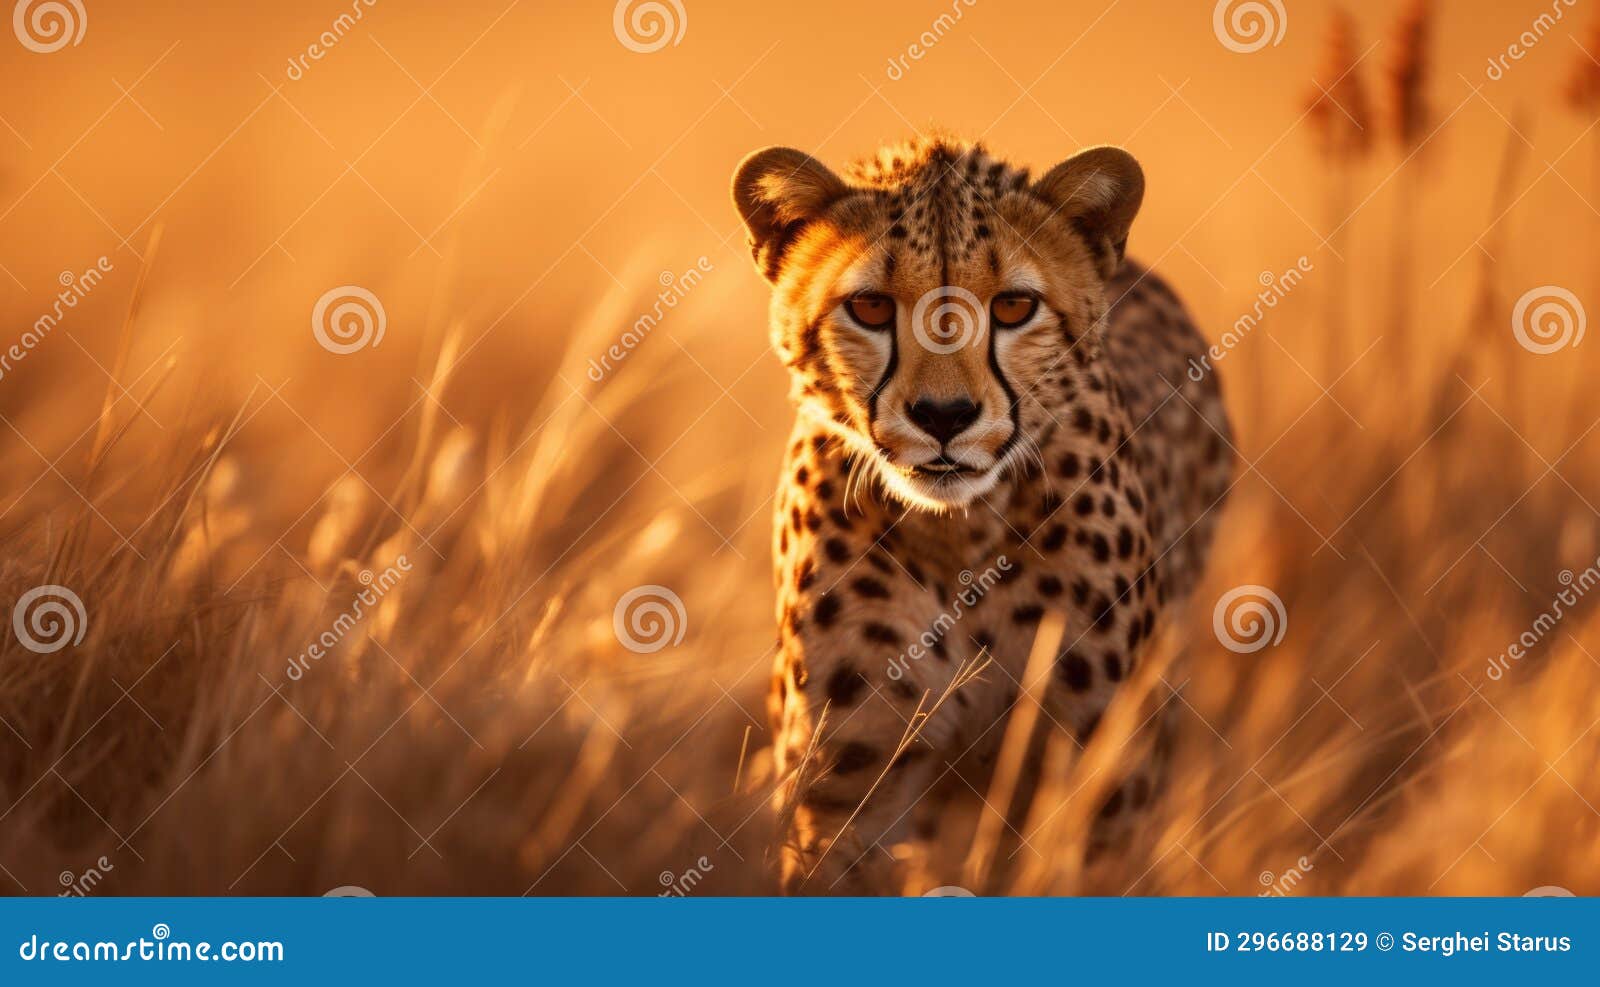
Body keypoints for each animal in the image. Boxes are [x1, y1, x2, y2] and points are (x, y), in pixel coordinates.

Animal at [731, 135, 1234, 895]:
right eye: (871, 307)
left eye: (1015, 306)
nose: (944, 416)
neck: (959, 536)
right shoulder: (846, 787)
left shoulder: (1104, 780)